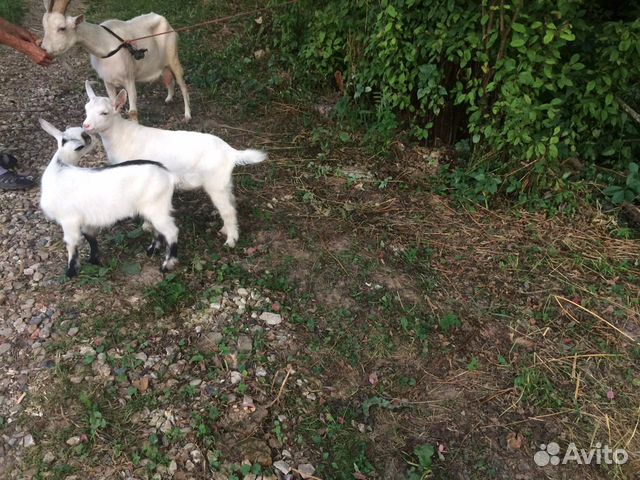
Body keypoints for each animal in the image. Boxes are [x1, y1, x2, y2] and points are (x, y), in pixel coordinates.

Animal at [39, 118, 179, 277]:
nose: (90, 135)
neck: (58, 171)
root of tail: (168, 175)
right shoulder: (84, 219)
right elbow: (90, 237)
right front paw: (94, 260)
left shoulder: (69, 220)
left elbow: (71, 243)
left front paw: (71, 271)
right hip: (151, 209)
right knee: (159, 230)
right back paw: (151, 250)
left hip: (157, 208)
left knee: (171, 232)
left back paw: (167, 265)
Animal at [41, 0, 191, 122]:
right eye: (44, 27)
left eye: (62, 28)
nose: (44, 49)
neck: (105, 45)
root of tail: (164, 20)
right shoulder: (107, 81)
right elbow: (113, 105)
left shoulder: (129, 79)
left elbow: (132, 111)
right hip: (161, 63)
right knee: (168, 78)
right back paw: (169, 98)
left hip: (173, 55)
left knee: (182, 83)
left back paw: (187, 115)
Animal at [83, 81, 267, 248]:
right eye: (86, 109)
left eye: (104, 113)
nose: (86, 125)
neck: (122, 137)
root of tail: (231, 152)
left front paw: (146, 225)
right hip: (223, 181)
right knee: (231, 202)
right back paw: (225, 230)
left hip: (215, 183)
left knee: (227, 210)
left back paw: (231, 241)